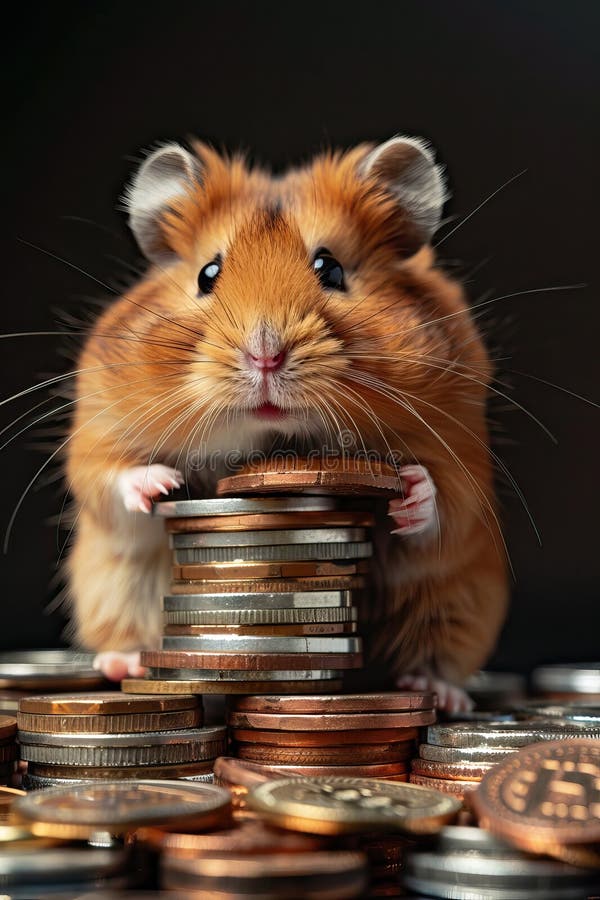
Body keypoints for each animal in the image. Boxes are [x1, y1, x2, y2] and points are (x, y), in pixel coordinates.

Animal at [64, 135, 509, 710]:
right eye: (208, 274)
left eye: (331, 268)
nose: (265, 355)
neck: (269, 437)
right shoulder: (100, 427)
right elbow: (113, 483)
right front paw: (163, 483)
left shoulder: (461, 446)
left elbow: (444, 504)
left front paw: (409, 489)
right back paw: (127, 665)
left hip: (459, 604)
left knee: (438, 657)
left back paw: (436, 692)